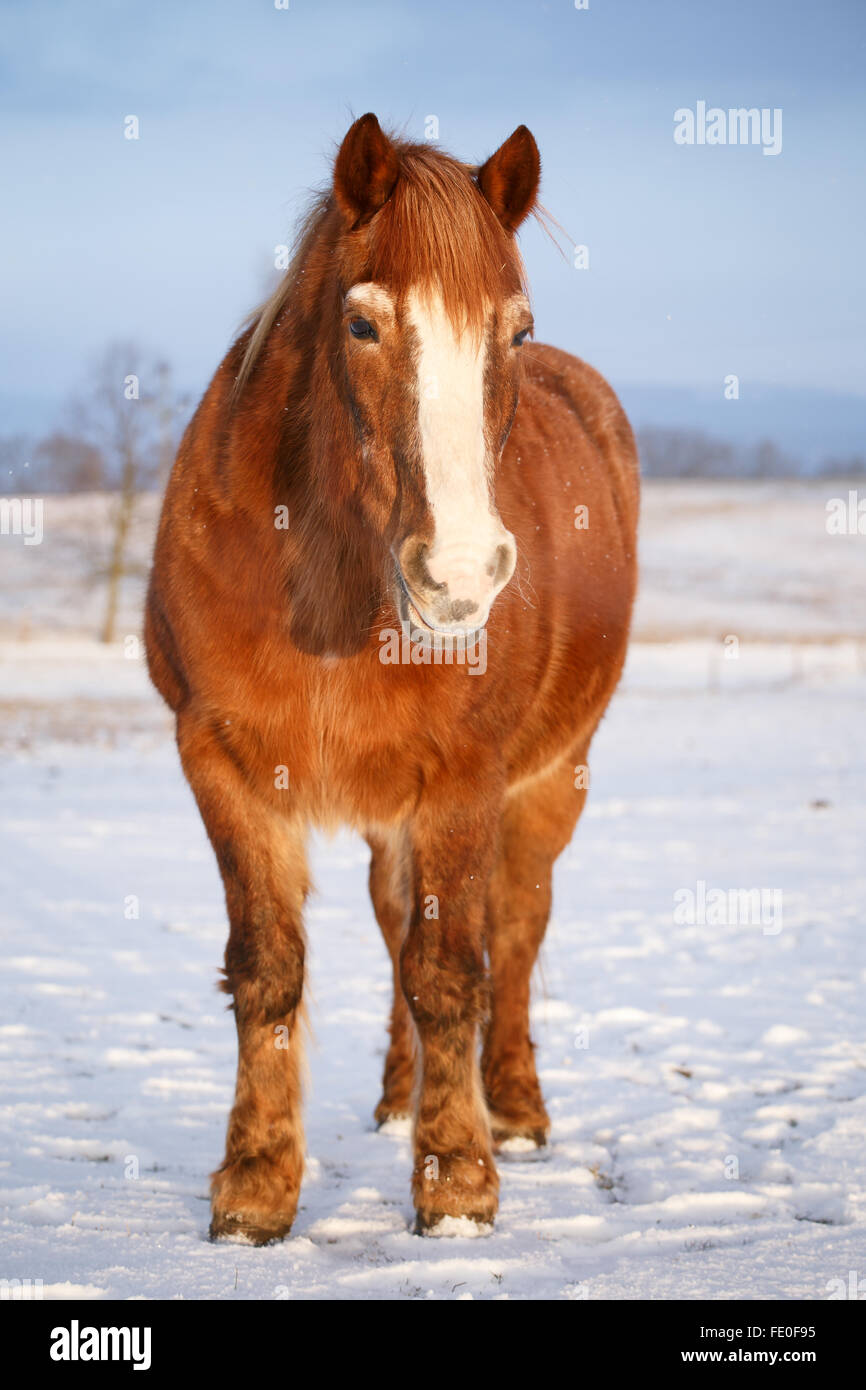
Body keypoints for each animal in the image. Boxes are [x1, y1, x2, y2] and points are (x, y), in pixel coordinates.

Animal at [145, 113, 639, 1243]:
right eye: (363, 325)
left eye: (516, 330)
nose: (457, 575)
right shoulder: (219, 763)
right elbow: (269, 965)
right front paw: (254, 1186)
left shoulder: (463, 777)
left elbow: (451, 969)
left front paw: (456, 1182)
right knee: (391, 919)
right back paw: (392, 1098)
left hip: (551, 780)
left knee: (515, 926)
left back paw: (513, 1110)